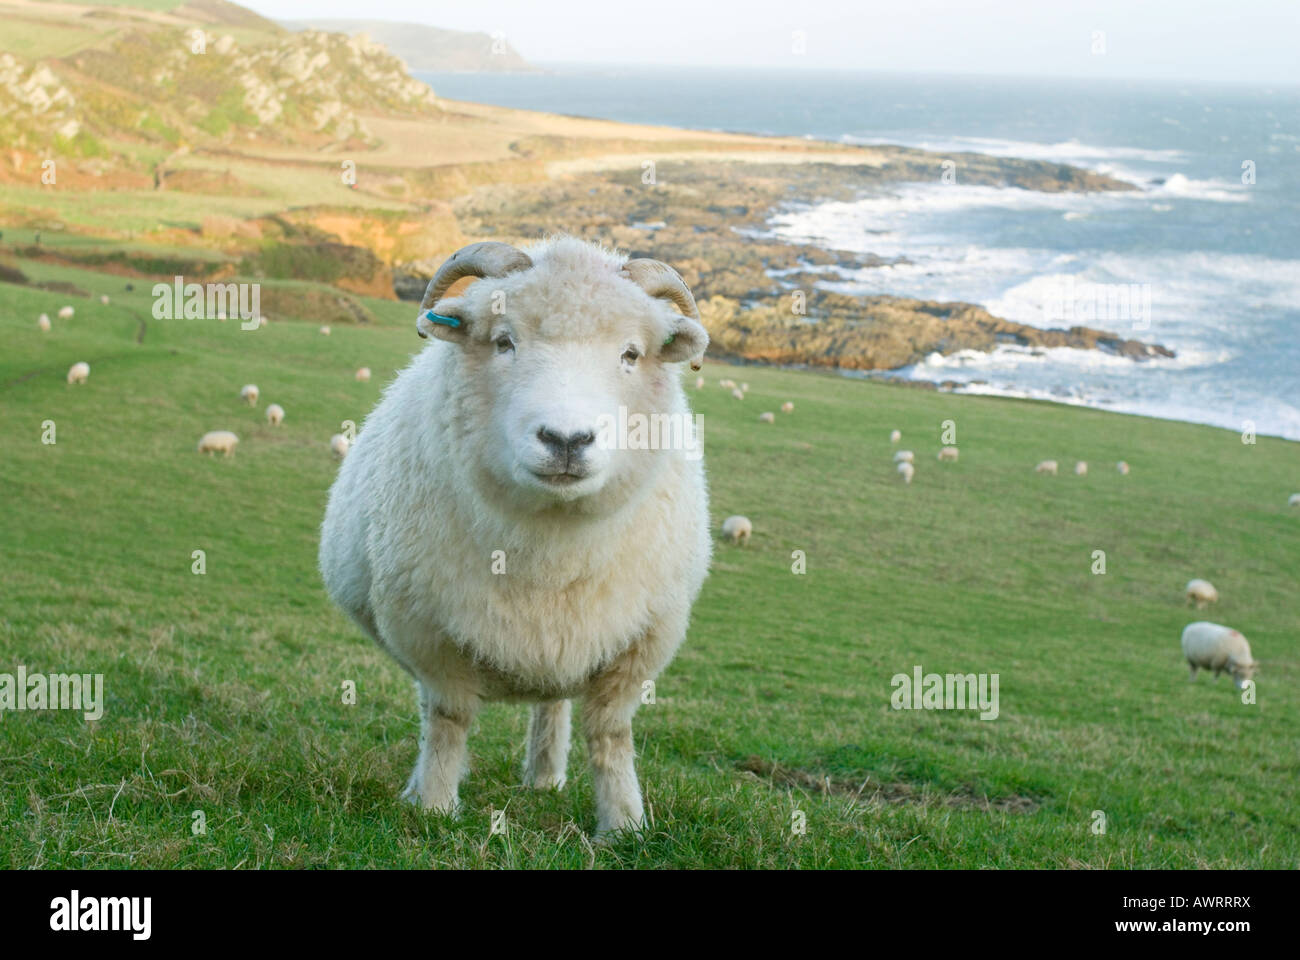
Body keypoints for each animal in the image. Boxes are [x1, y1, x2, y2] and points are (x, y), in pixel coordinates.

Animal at [319, 237, 711, 838]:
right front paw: (434, 806)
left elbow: (610, 734)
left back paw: (545, 777)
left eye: (630, 354)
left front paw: (624, 825)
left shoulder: (643, 639)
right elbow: (448, 719)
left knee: (553, 704)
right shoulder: (427, 633)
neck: (551, 552)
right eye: (504, 342)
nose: (567, 439)